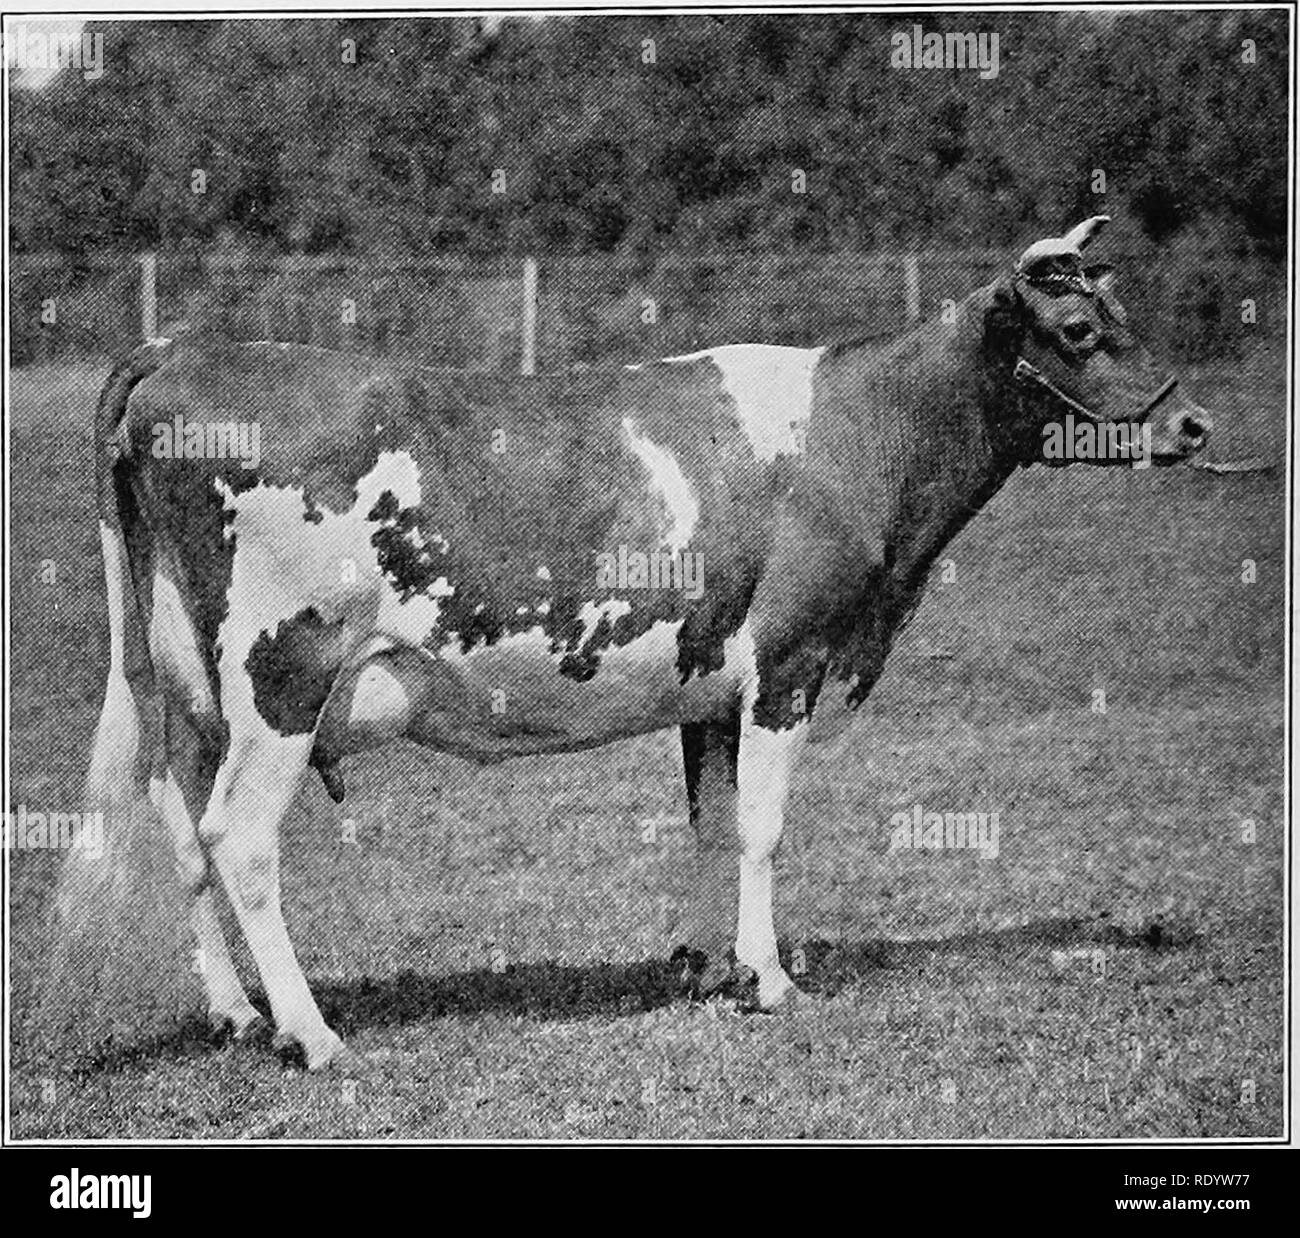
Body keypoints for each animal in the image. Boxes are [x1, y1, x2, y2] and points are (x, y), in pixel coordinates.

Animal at [64, 216, 1212, 1070]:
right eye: (1077, 326)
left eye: (1117, 310)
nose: (1193, 424)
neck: (861, 434)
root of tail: (181, 348)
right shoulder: (789, 661)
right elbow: (762, 828)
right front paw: (771, 979)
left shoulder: (710, 686)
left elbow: (710, 823)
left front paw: (709, 967)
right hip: (283, 675)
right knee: (239, 838)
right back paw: (310, 1032)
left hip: (187, 686)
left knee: (179, 821)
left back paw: (237, 1013)